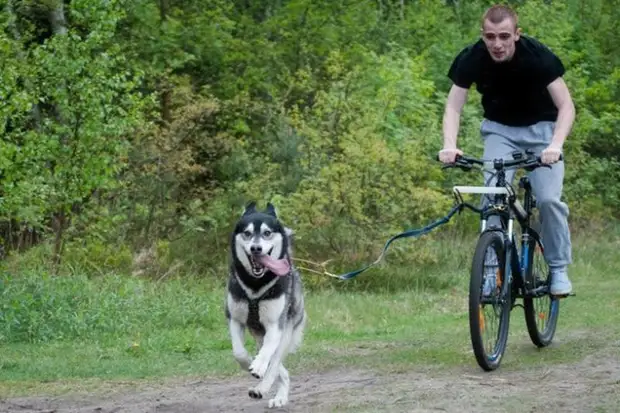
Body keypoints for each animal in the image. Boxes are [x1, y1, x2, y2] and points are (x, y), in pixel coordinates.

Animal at [225, 201, 308, 408]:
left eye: (267, 233)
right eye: (247, 233)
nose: (256, 248)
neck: (255, 285)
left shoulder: (275, 325)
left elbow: (268, 353)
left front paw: (258, 366)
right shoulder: (234, 319)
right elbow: (238, 352)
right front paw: (248, 361)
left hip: (287, 332)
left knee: (275, 363)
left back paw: (264, 389)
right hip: (258, 335)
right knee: (280, 369)